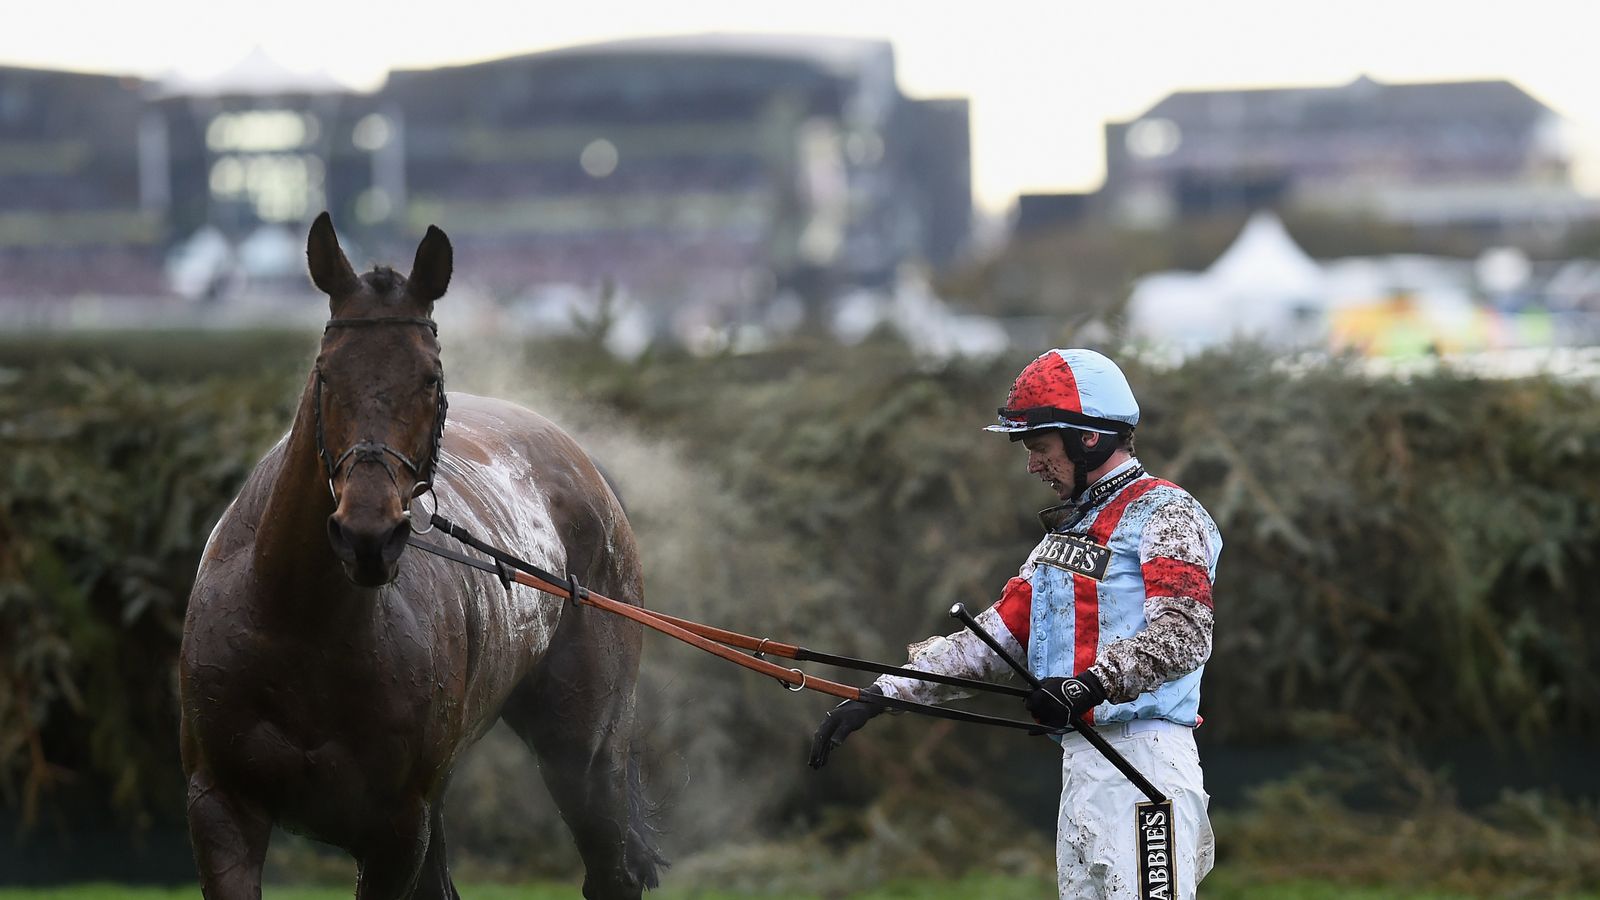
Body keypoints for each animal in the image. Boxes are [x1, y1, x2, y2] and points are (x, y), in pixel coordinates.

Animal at [179, 214, 665, 899]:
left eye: (430, 377)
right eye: (326, 372)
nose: (367, 536)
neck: (297, 627)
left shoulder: (395, 826)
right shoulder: (221, 804)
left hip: (585, 743)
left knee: (608, 863)